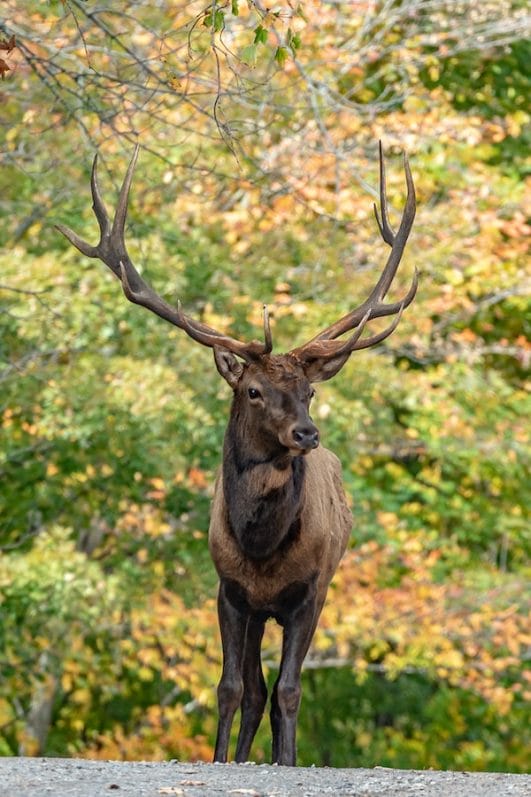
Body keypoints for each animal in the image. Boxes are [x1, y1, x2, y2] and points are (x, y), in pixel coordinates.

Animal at [56, 141, 416, 766]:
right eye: (253, 390)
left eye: (309, 390)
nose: (306, 433)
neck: (262, 546)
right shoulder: (229, 591)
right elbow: (230, 688)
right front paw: (222, 759)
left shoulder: (310, 592)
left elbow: (290, 691)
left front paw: (287, 762)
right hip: (253, 613)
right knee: (251, 690)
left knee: (272, 691)